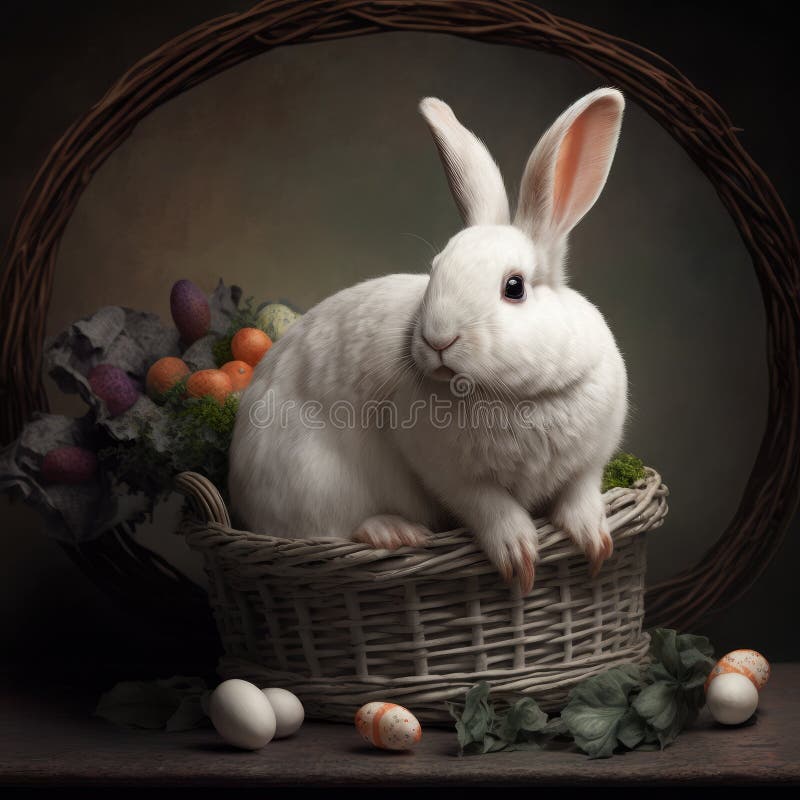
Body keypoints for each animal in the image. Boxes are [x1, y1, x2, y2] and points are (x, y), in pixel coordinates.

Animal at [229, 88, 628, 594]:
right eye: (435, 270)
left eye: (514, 287)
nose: (438, 339)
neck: (514, 395)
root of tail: (237, 486)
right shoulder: (446, 473)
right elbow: (488, 506)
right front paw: (519, 557)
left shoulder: (592, 458)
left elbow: (580, 491)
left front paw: (596, 542)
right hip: (309, 481)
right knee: (327, 533)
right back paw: (393, 531)